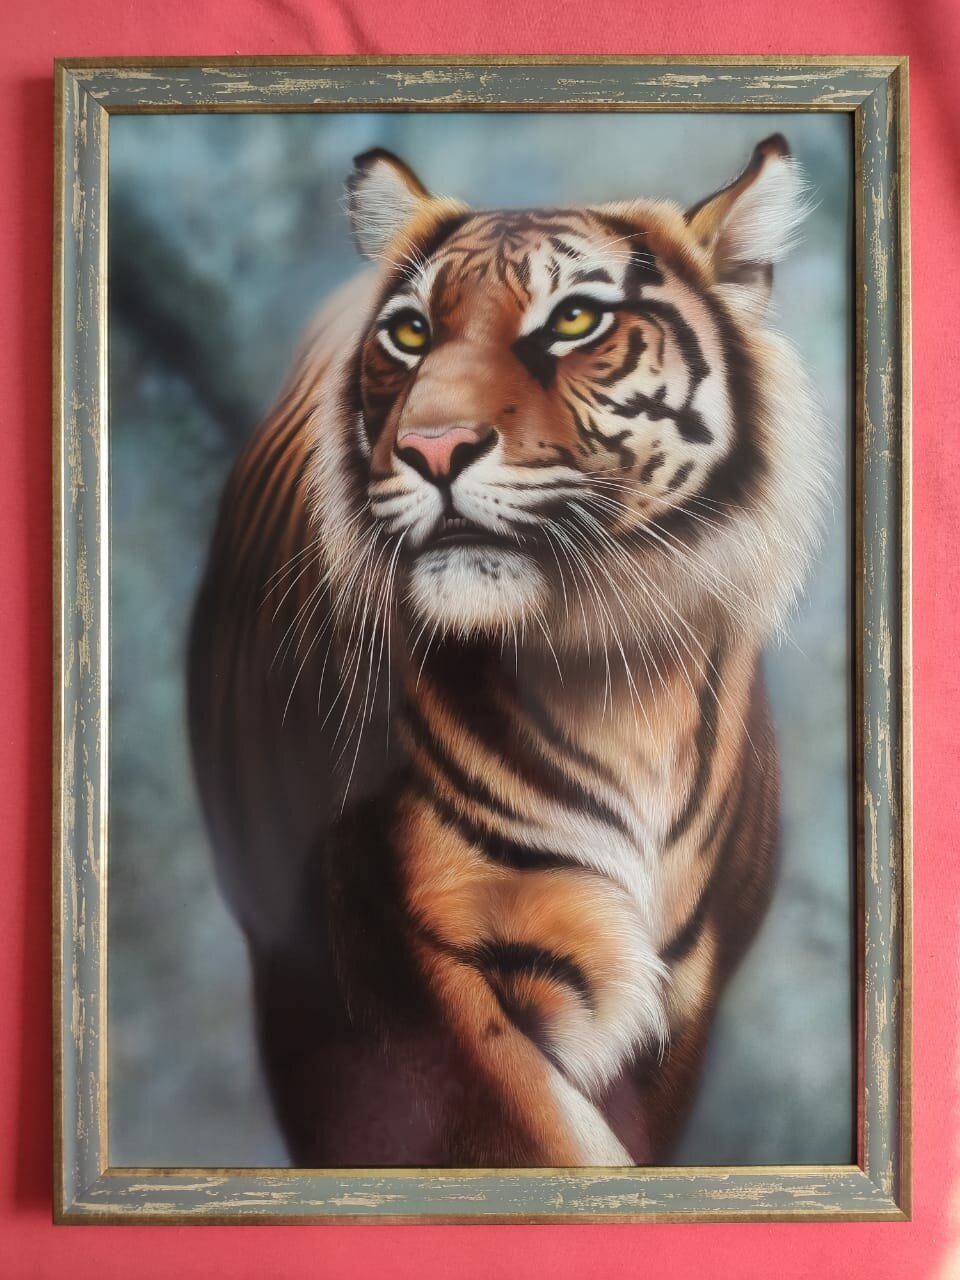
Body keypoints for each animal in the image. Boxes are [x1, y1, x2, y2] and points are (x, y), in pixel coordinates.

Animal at [187, 133, 825, 1168]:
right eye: (411, 334)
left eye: (574, 319)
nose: (433, 447)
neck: (606, 677)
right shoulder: (400, 962)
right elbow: (545, 1141)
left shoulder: (679, 1001)